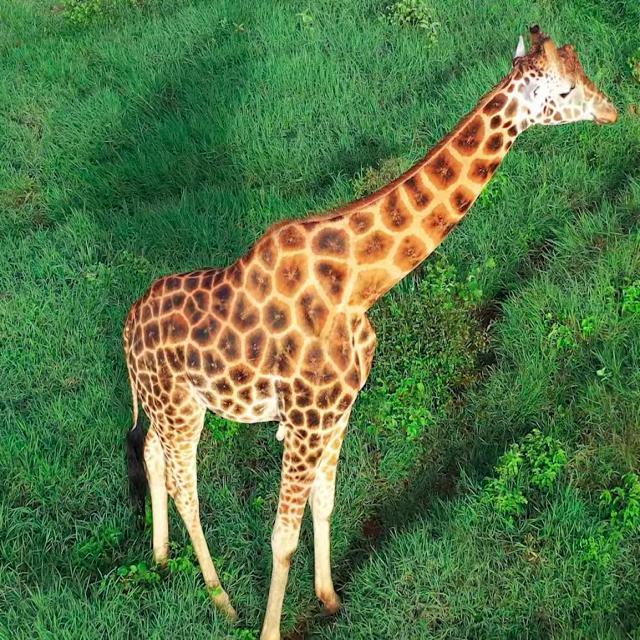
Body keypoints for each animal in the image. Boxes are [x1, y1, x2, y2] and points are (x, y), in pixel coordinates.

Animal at [123, 27, 617, 640]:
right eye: (567, 88)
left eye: (582, 69)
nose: (613, 110)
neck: (359, 286)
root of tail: (125, 330)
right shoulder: (307, 418)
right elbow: (281, 537)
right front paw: (270, 629)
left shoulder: (340, 408)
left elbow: (326, 501)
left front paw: (330, 598)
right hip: (180, 406)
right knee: (185, 485)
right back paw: (222, 601)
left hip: (166, 404)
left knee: (151, 454)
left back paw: (162, 558)